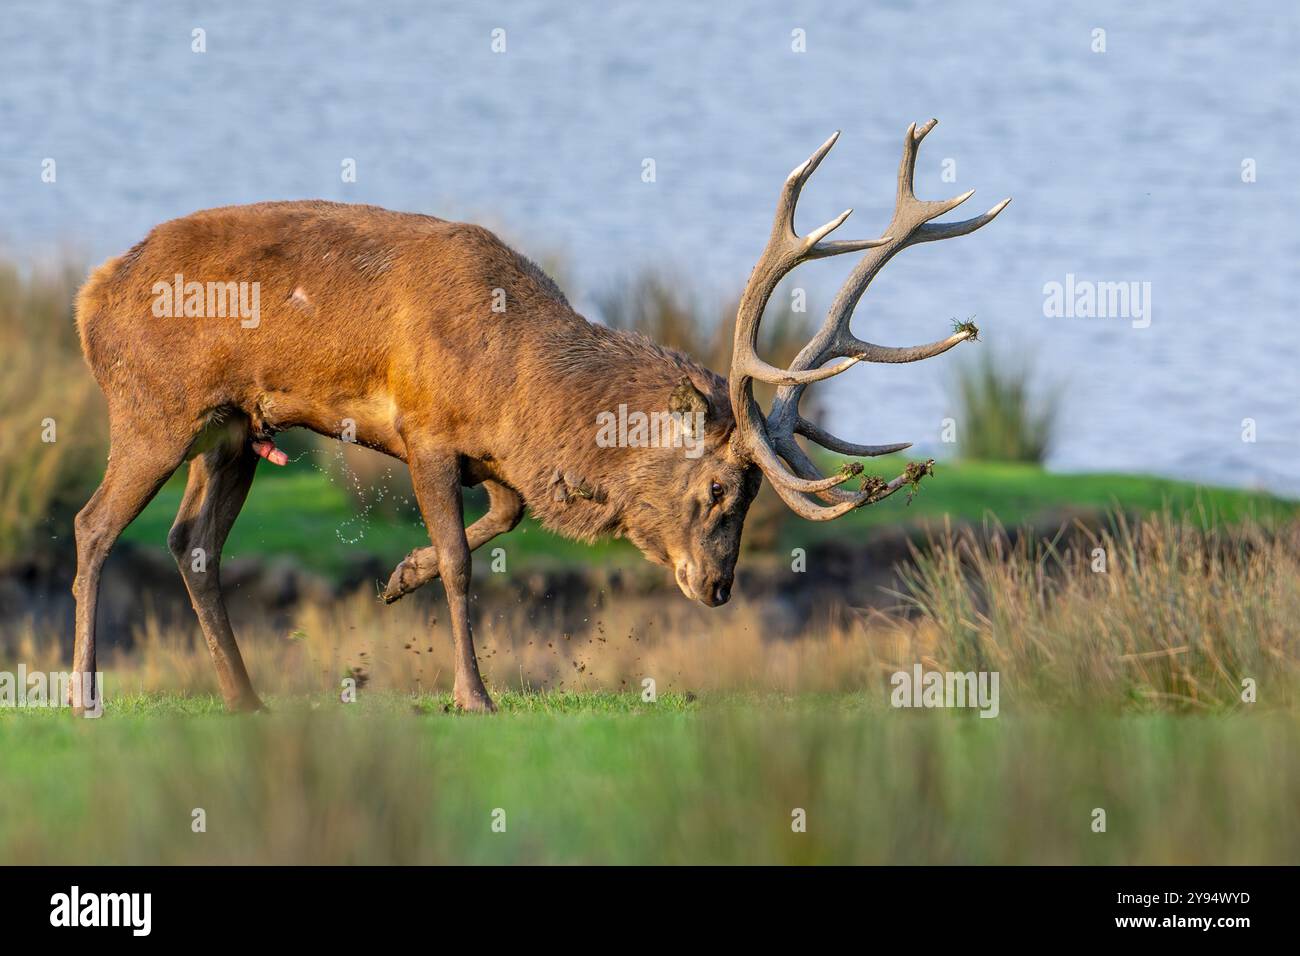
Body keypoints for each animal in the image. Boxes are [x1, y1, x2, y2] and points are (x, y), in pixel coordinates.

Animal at [70, 119, 1007, 715]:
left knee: (191, 543)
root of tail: (89, 294)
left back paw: (245, 697)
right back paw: (84, 694)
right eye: (716, 490)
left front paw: (396, 576)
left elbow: (508, 516)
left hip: (230, 429)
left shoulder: (495, 462)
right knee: (93, 525)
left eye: (749, 496)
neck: (513, 384)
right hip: (153, 407)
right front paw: (472, 692)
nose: (716, 587)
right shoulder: (423, 430)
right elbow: (462, 561)